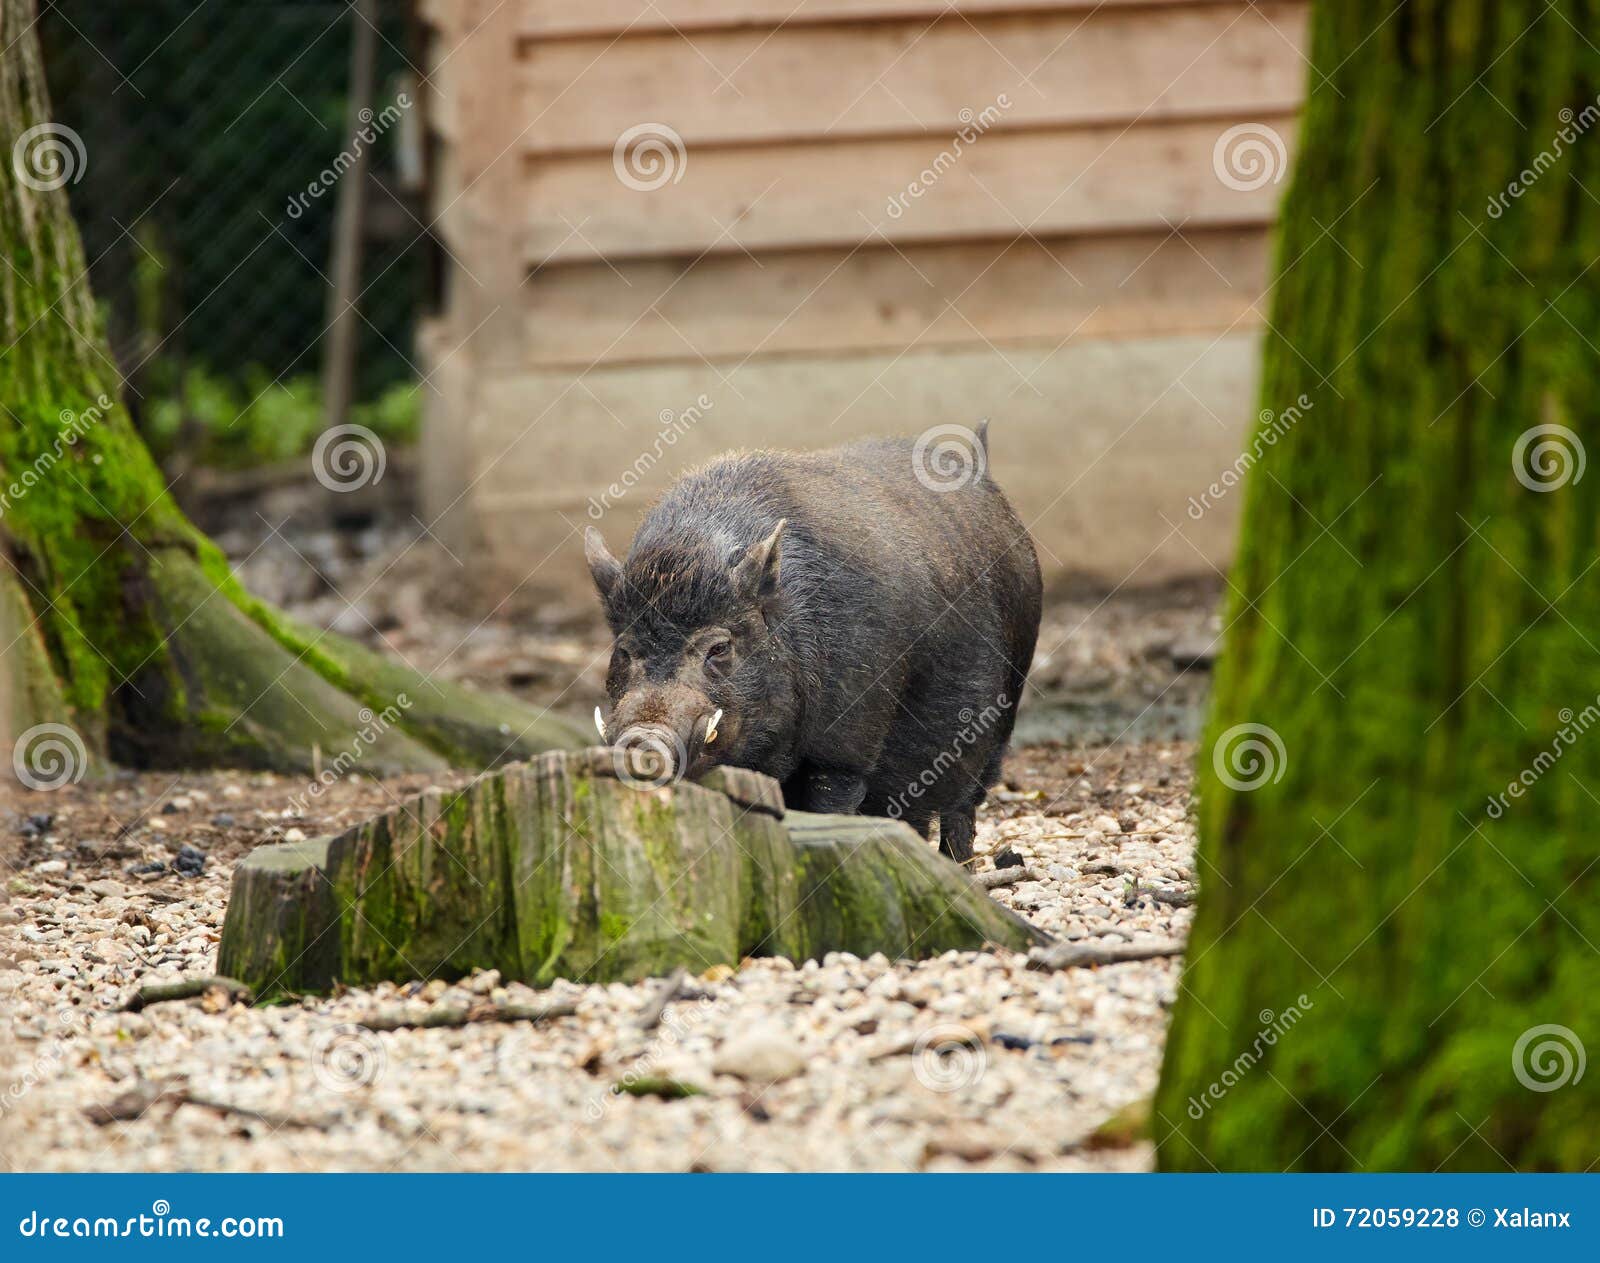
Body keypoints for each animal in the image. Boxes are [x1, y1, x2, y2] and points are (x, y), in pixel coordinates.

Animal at [584, 425, 1041, 863]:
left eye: (720, 648)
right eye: (623, 651)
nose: (642, 735)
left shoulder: (845, 748)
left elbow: (831, 801)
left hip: (1002, 713)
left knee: (962, 804)